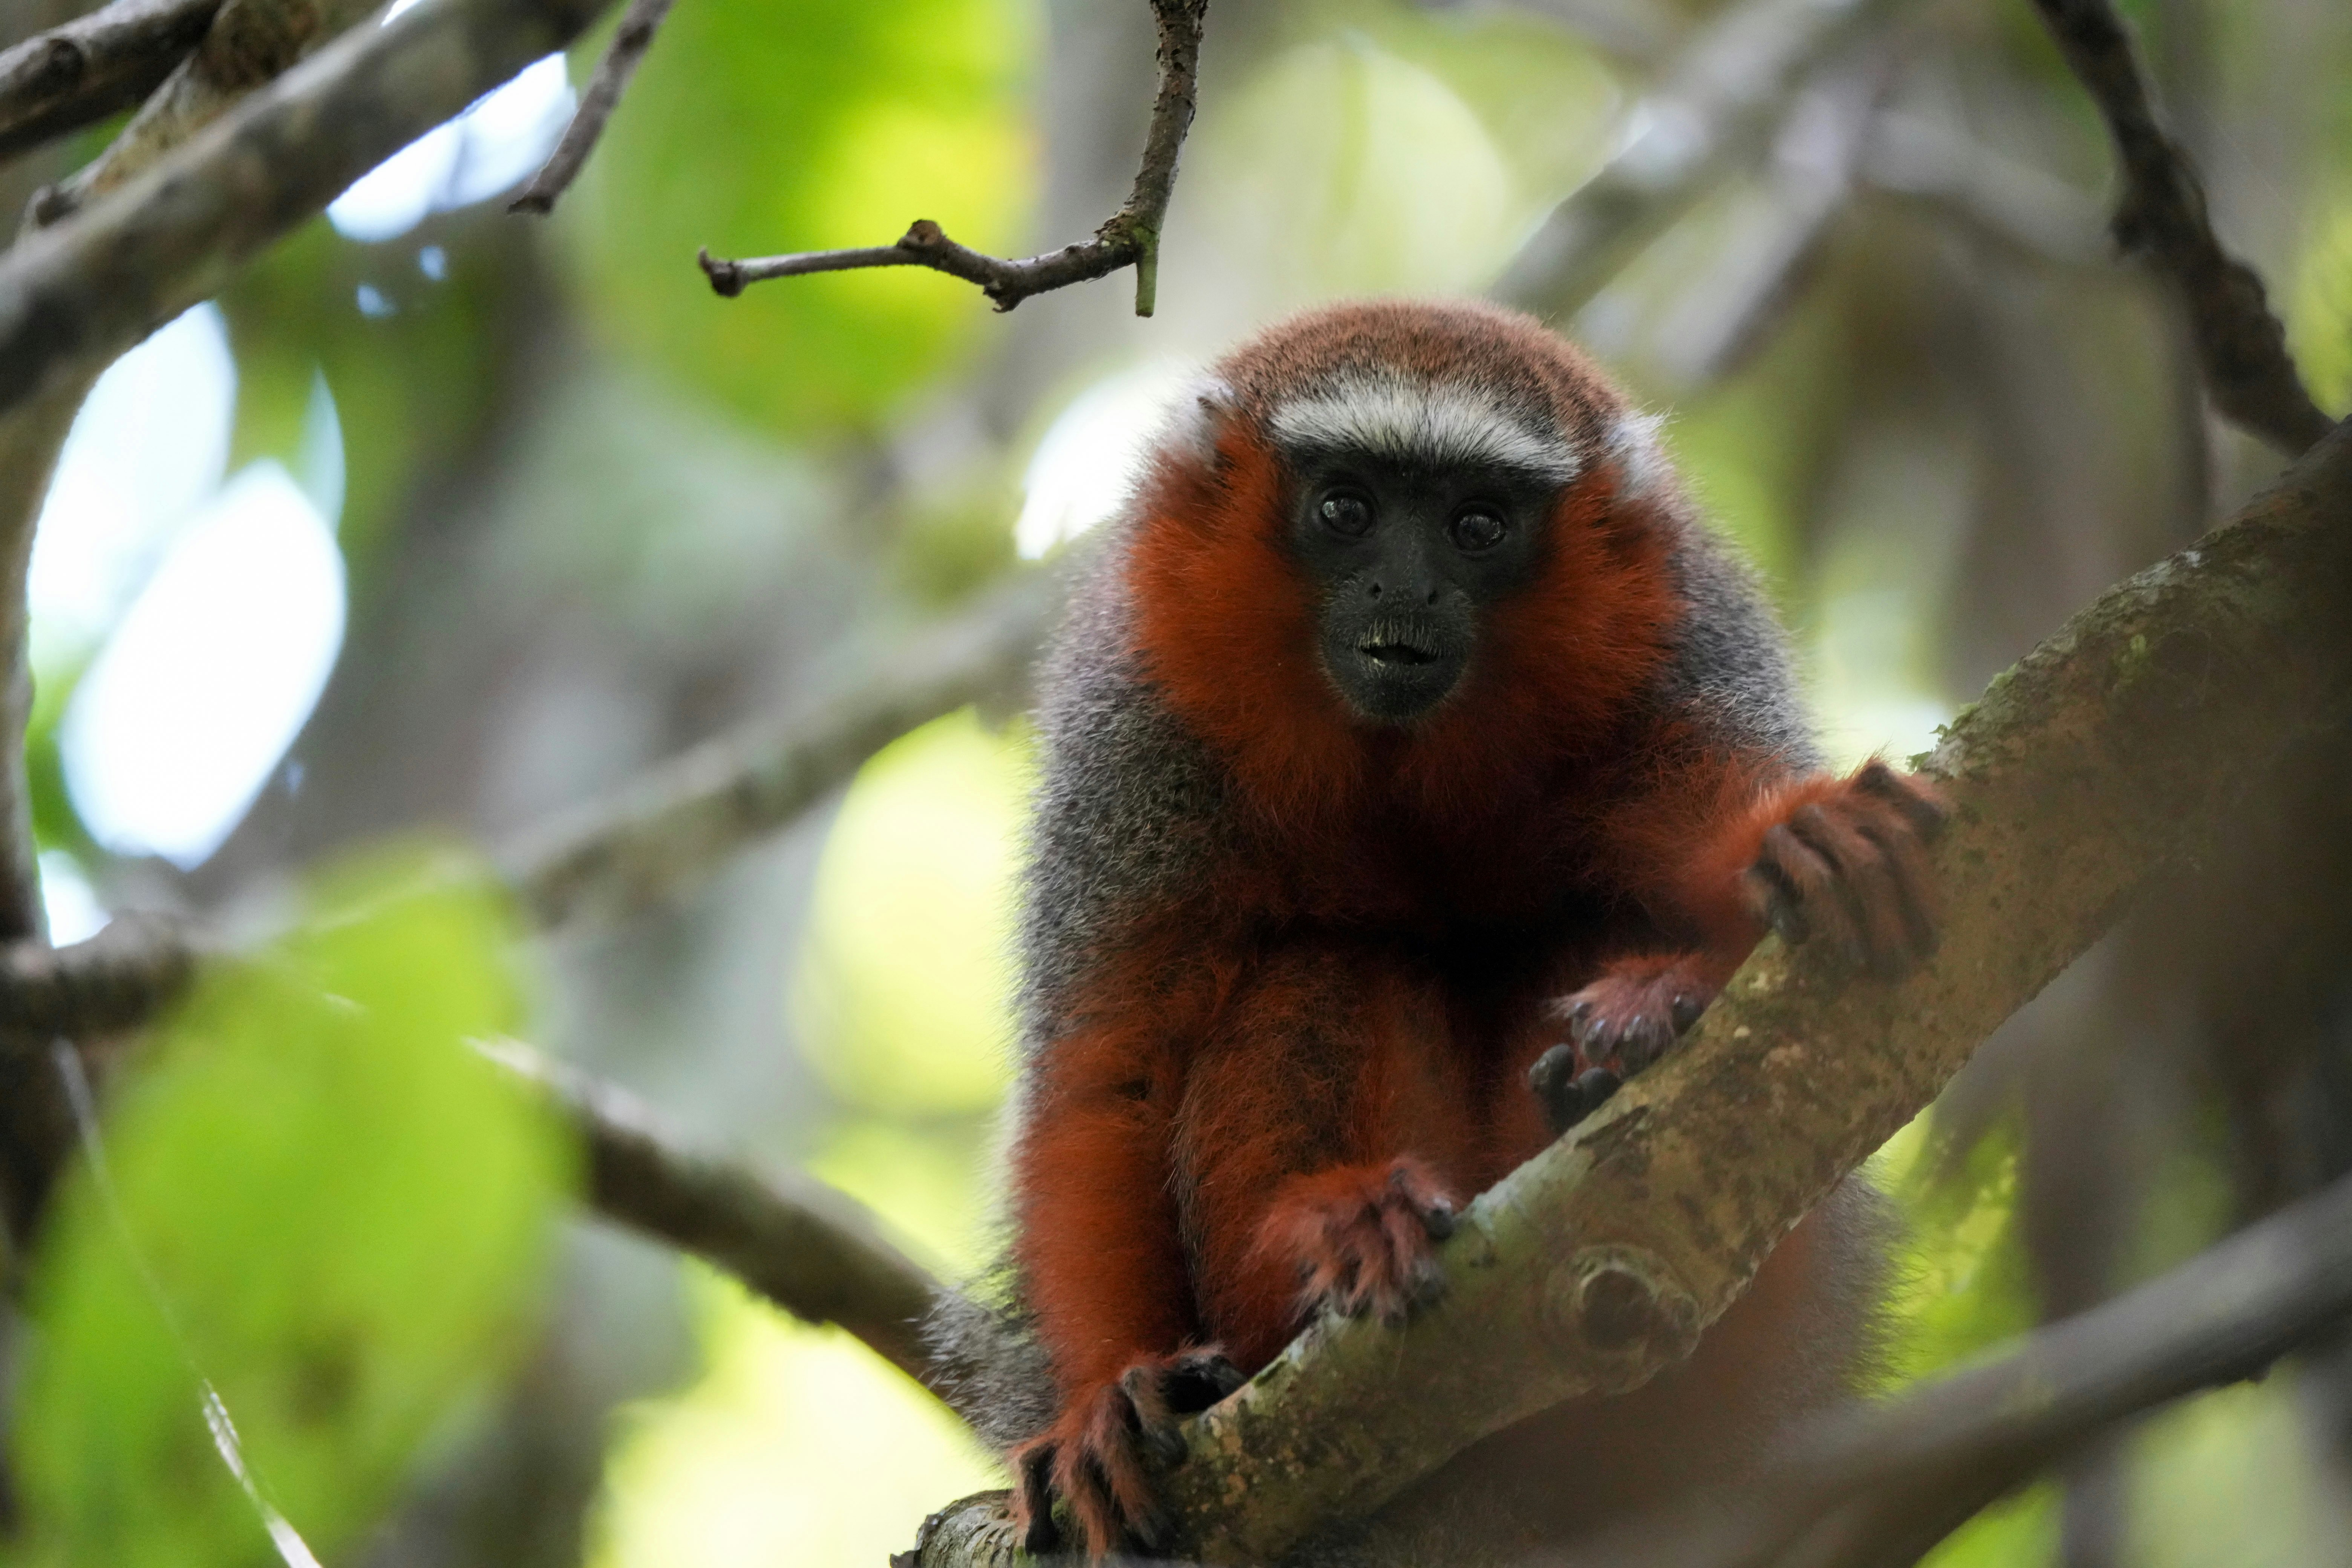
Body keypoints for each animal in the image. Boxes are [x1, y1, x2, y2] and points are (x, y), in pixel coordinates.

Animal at [925, 298, 1945, 1563]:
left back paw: (1612, 1070)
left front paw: (1776, 850)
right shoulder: (1140, 731)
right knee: (1324, 967)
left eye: (1476, 526)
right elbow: (1107, 1071)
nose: (1403, 594)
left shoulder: (1678, 641)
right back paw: (1335, 1236)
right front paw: (1103, 1398)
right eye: (1346, 510)